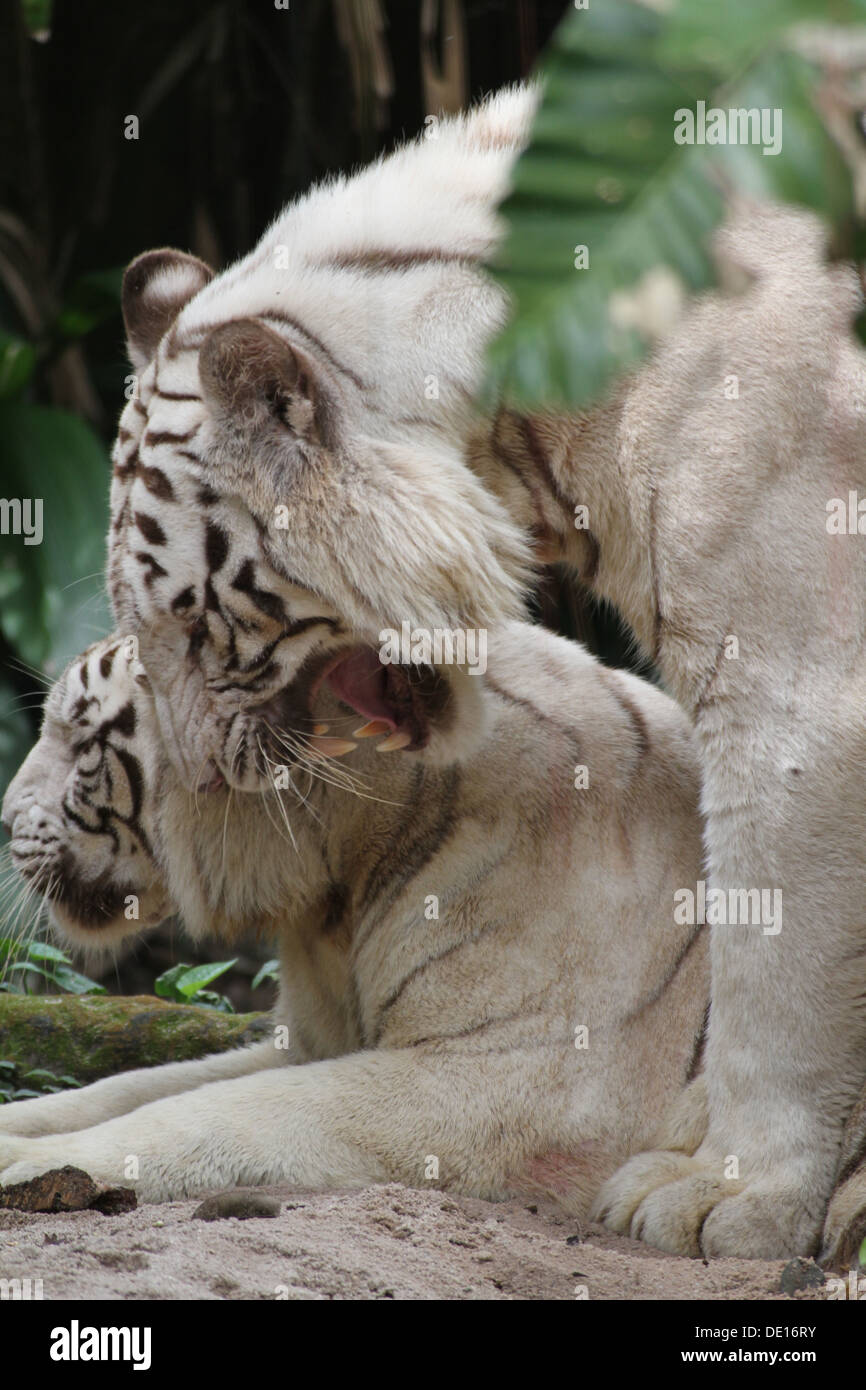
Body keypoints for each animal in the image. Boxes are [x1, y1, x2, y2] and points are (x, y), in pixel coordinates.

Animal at [0, 625, 707, 1209]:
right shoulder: (306, 1043)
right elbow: (129, 1087)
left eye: (84, 741)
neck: (343, 880)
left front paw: (29, 1163)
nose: (4, 819)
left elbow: (224, 1111)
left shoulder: (508, 1079)